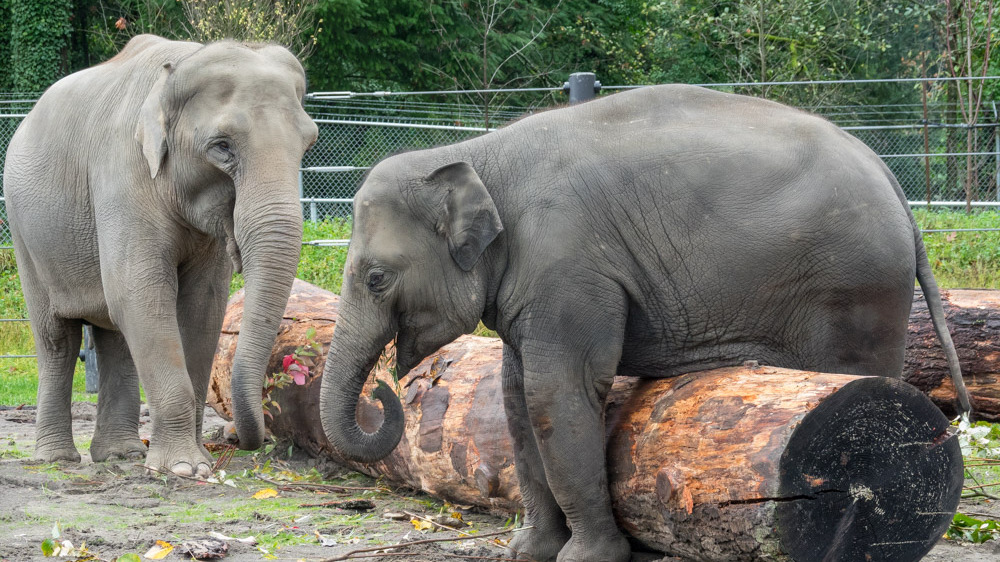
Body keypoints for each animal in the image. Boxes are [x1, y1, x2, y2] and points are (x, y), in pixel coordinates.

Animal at [4, 35, 318, 478]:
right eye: (222, 147)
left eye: (309, 143)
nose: (242, 440)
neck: (181, 64)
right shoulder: (121, 176)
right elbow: (141, 295)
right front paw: (186, 469)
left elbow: (202, 308)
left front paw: (197, 462)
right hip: (24, 231)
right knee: (57, 337)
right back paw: (57, 459)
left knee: (114, 334)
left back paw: (121, 455)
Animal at [319, 84, 970, 561]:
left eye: (376, 278)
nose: (383, 389)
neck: (479, 155)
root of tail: (893, 184)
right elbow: (516, 397)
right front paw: (528, 551)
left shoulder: (571, 267)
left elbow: (558, 392)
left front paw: (587, 559)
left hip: (858, 288)